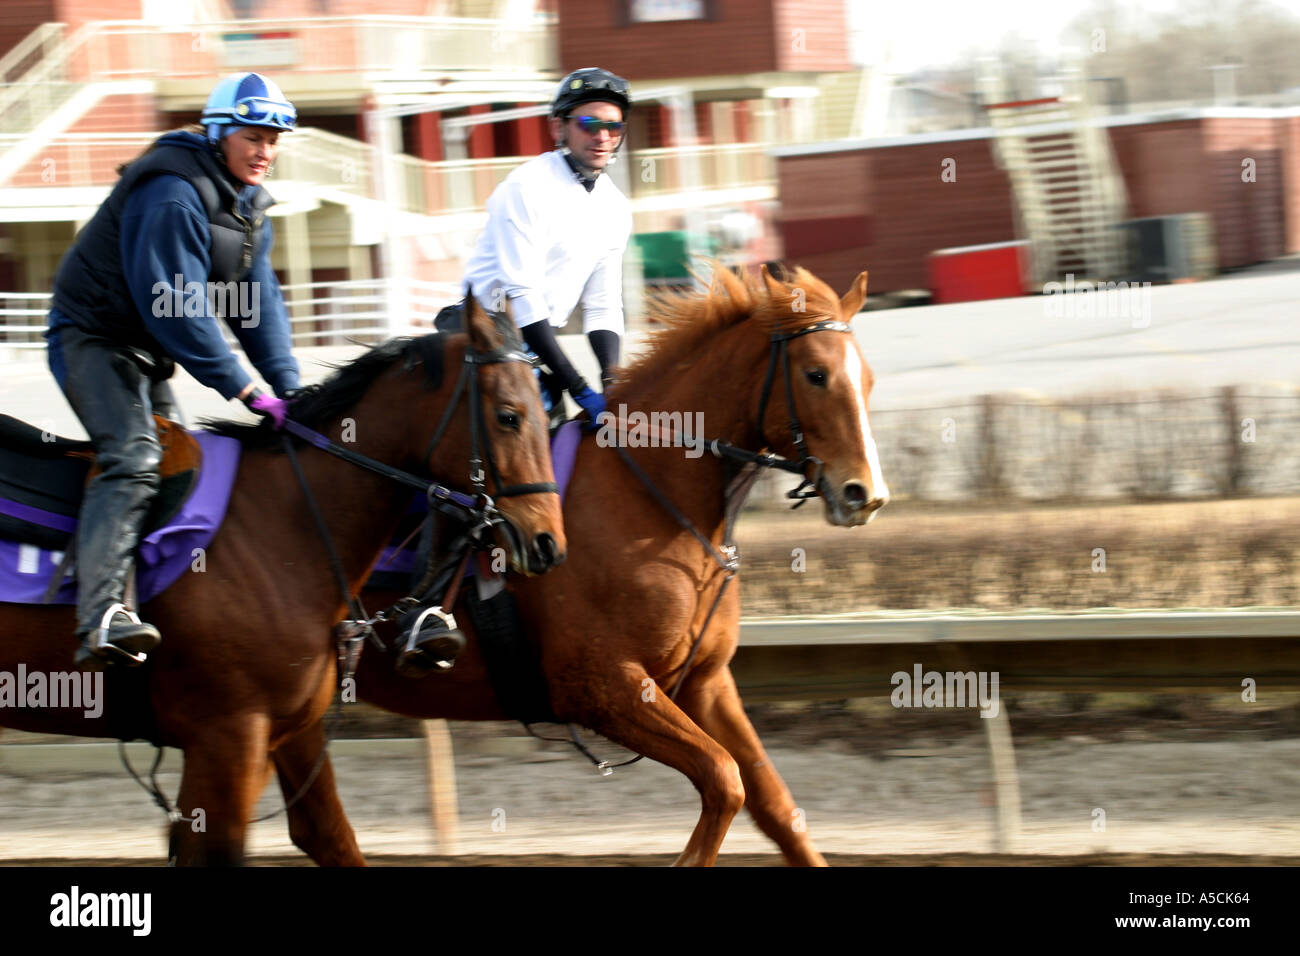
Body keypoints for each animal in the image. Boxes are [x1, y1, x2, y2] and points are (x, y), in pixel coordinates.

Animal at [0, 296, 565, 865]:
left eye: (546, 411)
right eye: (509, 416)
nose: (548, 543)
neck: (282, 522)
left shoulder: (290, 729)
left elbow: (331, 836)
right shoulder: (227, 736)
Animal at [271, 264, 888, 866]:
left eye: (868, 378)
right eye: (815, 375)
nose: (865, 494)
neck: (652, 496)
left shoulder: (705, 682)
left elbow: (774, 805)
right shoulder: (600, 687)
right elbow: (724, 778)